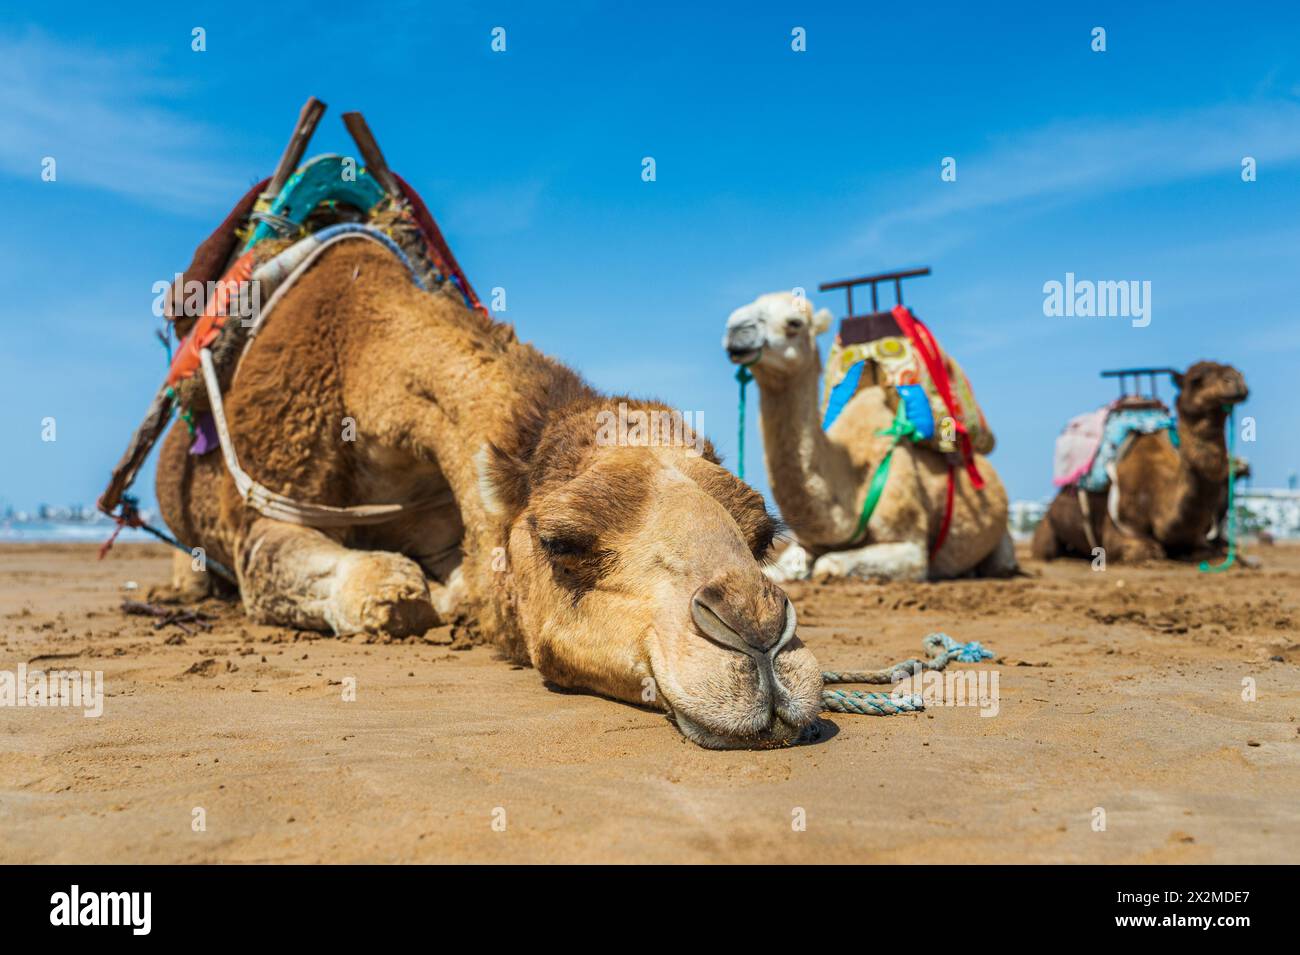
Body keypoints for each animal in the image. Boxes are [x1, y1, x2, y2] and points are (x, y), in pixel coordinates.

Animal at [155, 241, 824, 749]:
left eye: (762, 537)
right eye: (561, 542)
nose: (759, 631)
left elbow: (460, 584)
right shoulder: (265, 509)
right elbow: (383, 586)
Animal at [1032, 361, 1249, 562]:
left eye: (1235, 371)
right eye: (1196, 379)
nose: (1235, 379)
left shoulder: (1198, 538)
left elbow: (1214, 550)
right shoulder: (1119, 529)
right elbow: (1149, 550)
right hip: (1048, 527)